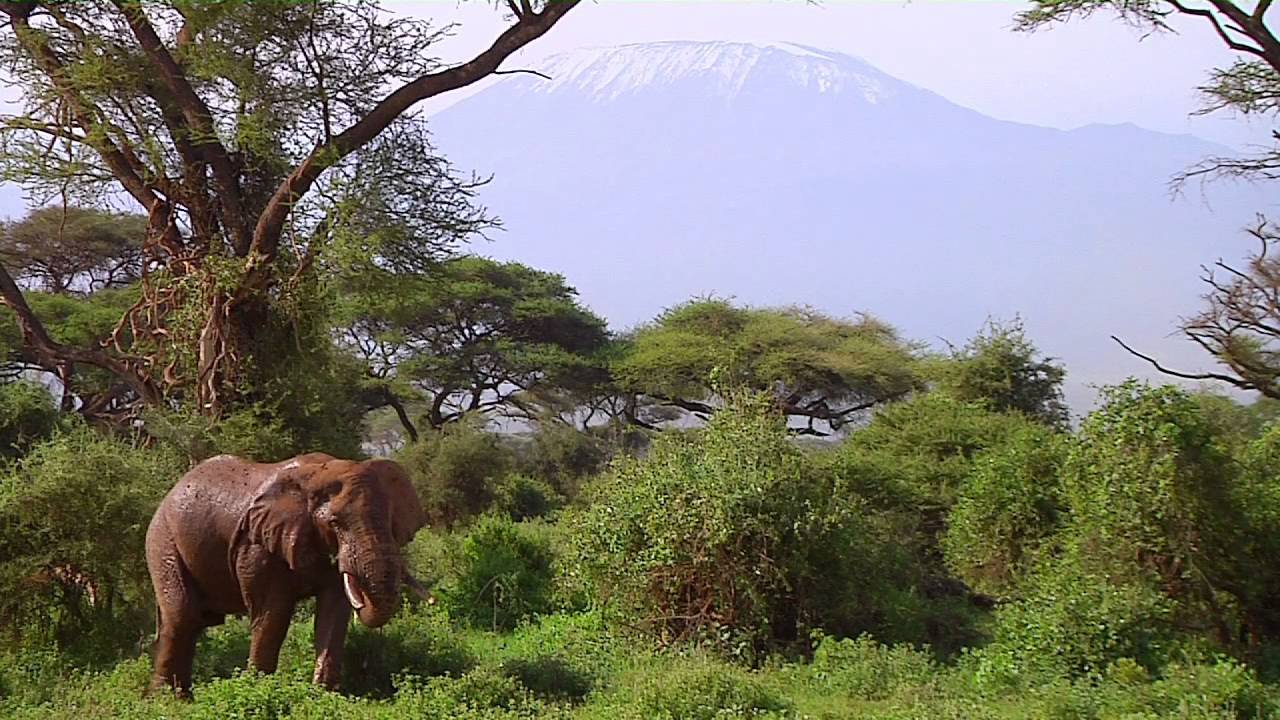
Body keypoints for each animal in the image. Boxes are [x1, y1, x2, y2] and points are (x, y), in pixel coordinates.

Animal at [144, 452, 428, 698]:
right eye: (335, 523)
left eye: (390, 521)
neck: (321, 472)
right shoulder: (257, 544)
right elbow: (273, 616)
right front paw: (257, 691)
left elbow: (333, 613)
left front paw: (322, 697)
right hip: (162, 541)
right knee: (182, 617)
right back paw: (167, 702)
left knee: (195, 621)